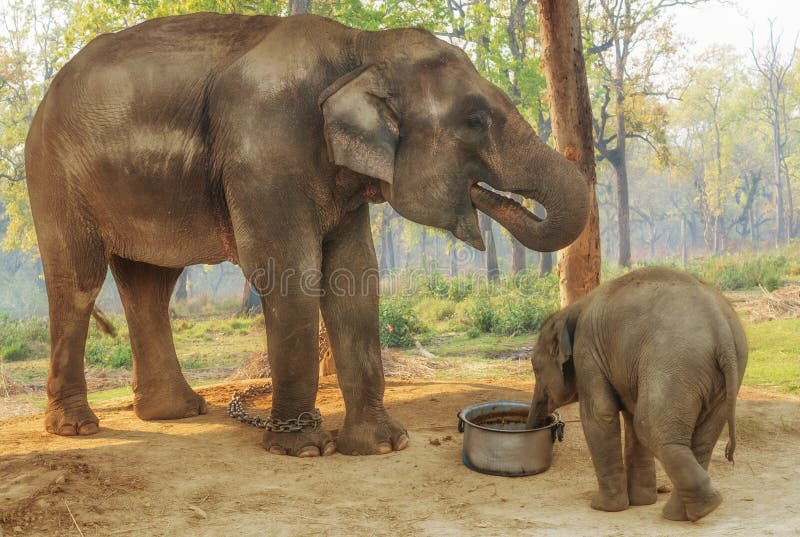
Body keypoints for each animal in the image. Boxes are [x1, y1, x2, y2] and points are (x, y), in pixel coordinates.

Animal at [25, 13, 589, 457]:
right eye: (475, 121)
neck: (360, 47)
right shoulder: (266, 149)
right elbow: (288, 273)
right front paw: (304, 448)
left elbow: (355, 278)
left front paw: (382, 445)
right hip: (54, 176)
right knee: (79, 281)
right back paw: (78, 428)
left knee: (150, 285)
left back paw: (177, 412)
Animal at [527, 267, 747, 520]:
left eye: (535, 368)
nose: (538, 426)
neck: (573, 309)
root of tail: (721, 330)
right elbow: (629, 418)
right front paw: (642, 502)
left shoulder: (587, 351)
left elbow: (601, 414)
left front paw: (603, 507)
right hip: (722, 383)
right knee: (700, 441)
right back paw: (688, 512)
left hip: (675, 364)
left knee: (649, 425)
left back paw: (700, 508)